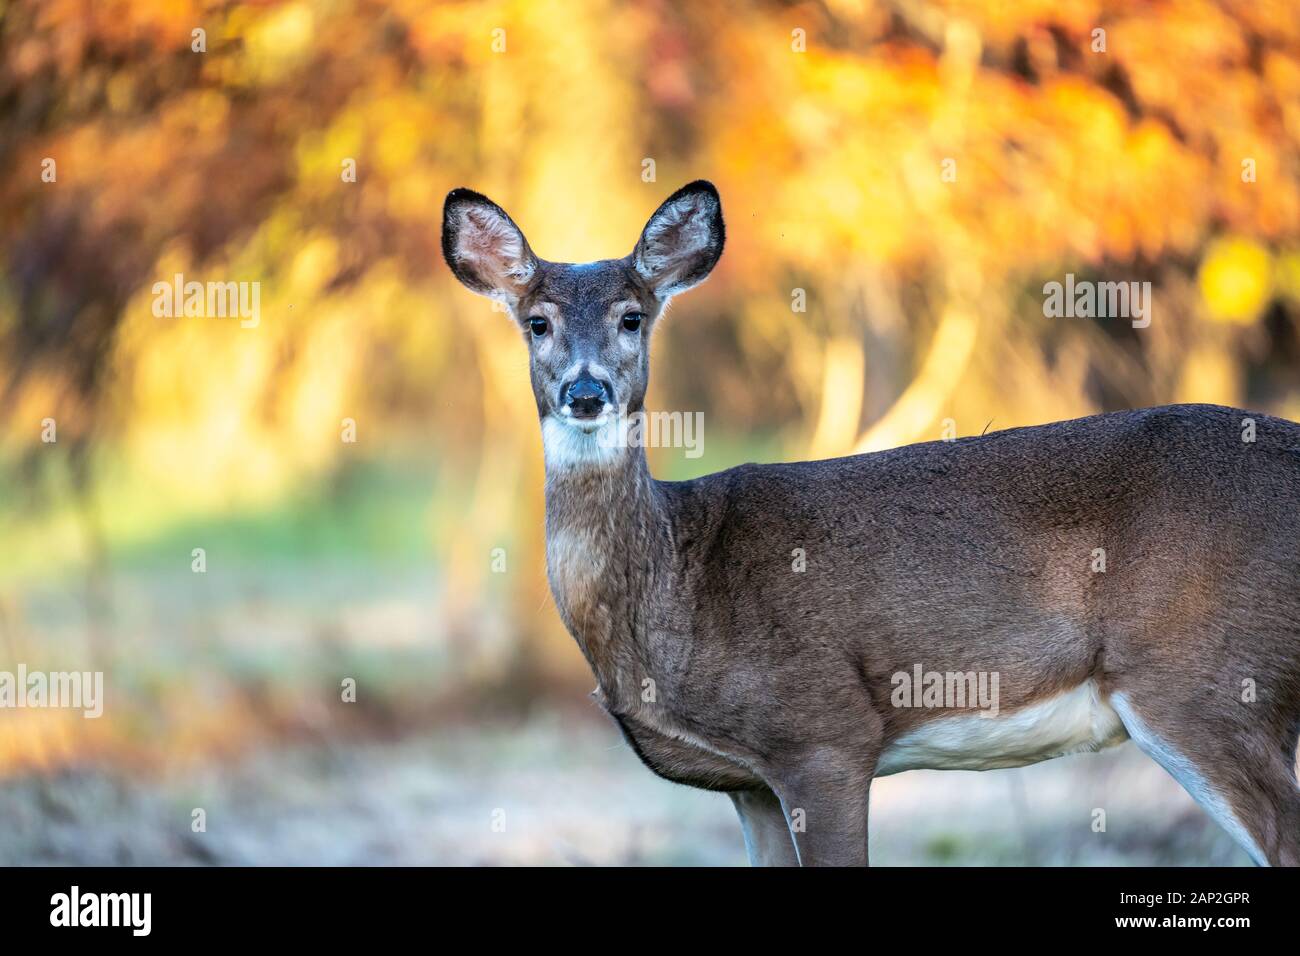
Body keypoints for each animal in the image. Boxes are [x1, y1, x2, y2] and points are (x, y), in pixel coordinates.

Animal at [441, 180, 1300, 866]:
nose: (586, 393)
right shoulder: (748, 783)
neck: (676, 586)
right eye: (538, 323)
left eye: (631, 317)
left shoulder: (824, 730)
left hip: (1206, 677)